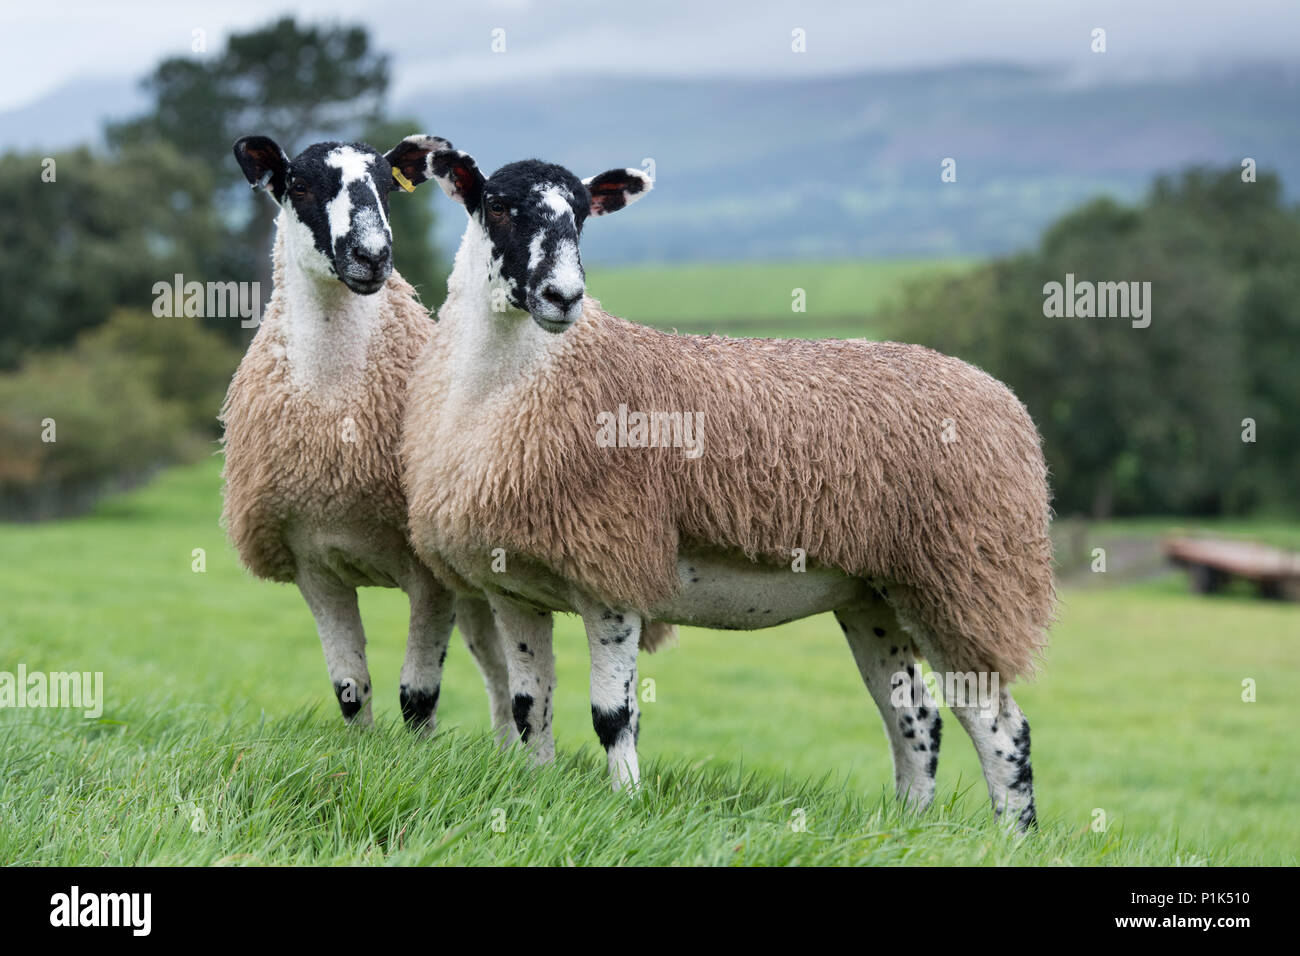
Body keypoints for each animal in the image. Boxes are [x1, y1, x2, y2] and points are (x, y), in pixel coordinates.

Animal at [221, 134, 513, 736]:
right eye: (299, 185)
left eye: (385, 187)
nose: (373, 256)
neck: (336, 408)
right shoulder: (315, 569)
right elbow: (351, 690)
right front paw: (362, 748)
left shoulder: (429, 574)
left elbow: (418, 696)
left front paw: (417, 754)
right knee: (497, 669)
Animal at [401, 150, 1054, 830]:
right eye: (497, 205)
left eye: (582, 217)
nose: (564, 297)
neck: (514, 385)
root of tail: (1005, 400)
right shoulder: (512, 588)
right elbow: (531, 708)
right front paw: (536, 791)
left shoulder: (615, 569)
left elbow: (614, 716)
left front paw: (626, 806)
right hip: (874, 596)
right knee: (916, 718)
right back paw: (908, 828)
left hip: (967, 579)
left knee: (1001, 727)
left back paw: (1011, 837)